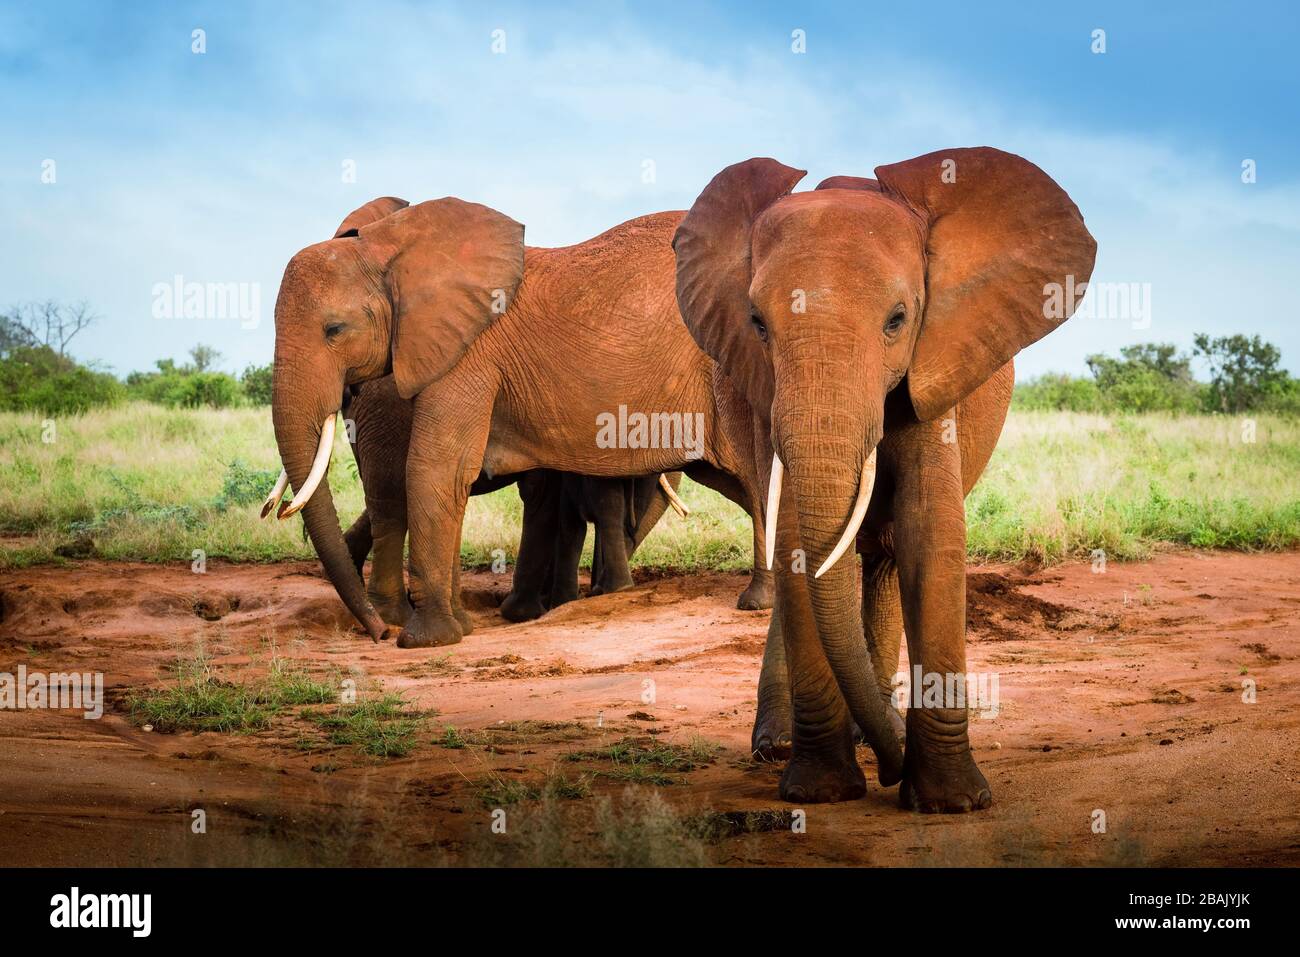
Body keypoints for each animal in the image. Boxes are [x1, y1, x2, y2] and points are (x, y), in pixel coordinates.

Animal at [264, 195, 773, 649]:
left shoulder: (468, 356)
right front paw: (461, 629)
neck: (386, 250)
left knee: (753, 479)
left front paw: (428, 640)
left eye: (334, 330)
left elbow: (439, 470)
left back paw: (757, 602)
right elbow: (453, 477)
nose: (377, 636)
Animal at [673, 148, 1096, 810]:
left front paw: (950, 802)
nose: (893, 771)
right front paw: (820, 792)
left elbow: (931, 530)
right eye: (757, 323)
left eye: (897, 320)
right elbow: (799, 544)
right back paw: (786, 746)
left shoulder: (936, 366)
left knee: (889, 559)